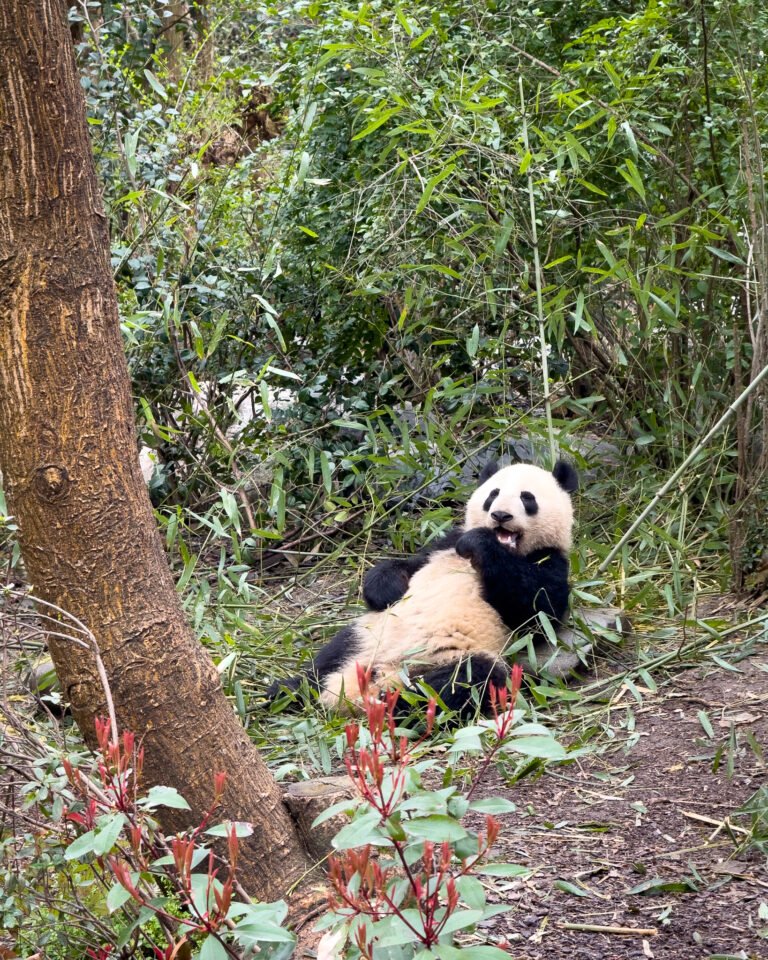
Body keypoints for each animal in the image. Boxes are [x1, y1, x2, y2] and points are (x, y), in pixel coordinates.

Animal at [269, 458, 578, 716]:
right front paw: (389, 589)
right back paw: (287, 690)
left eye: (527, 498)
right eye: (493, 494)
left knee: (461, 681)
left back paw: (389, 703)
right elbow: (402, 567)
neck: (512, 549)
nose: (500, 515)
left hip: (454, 657)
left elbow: (536, 607)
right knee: (330, 657)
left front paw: (480, 544)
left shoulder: (550, 560)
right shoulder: (441, 546)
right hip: (369, 635)